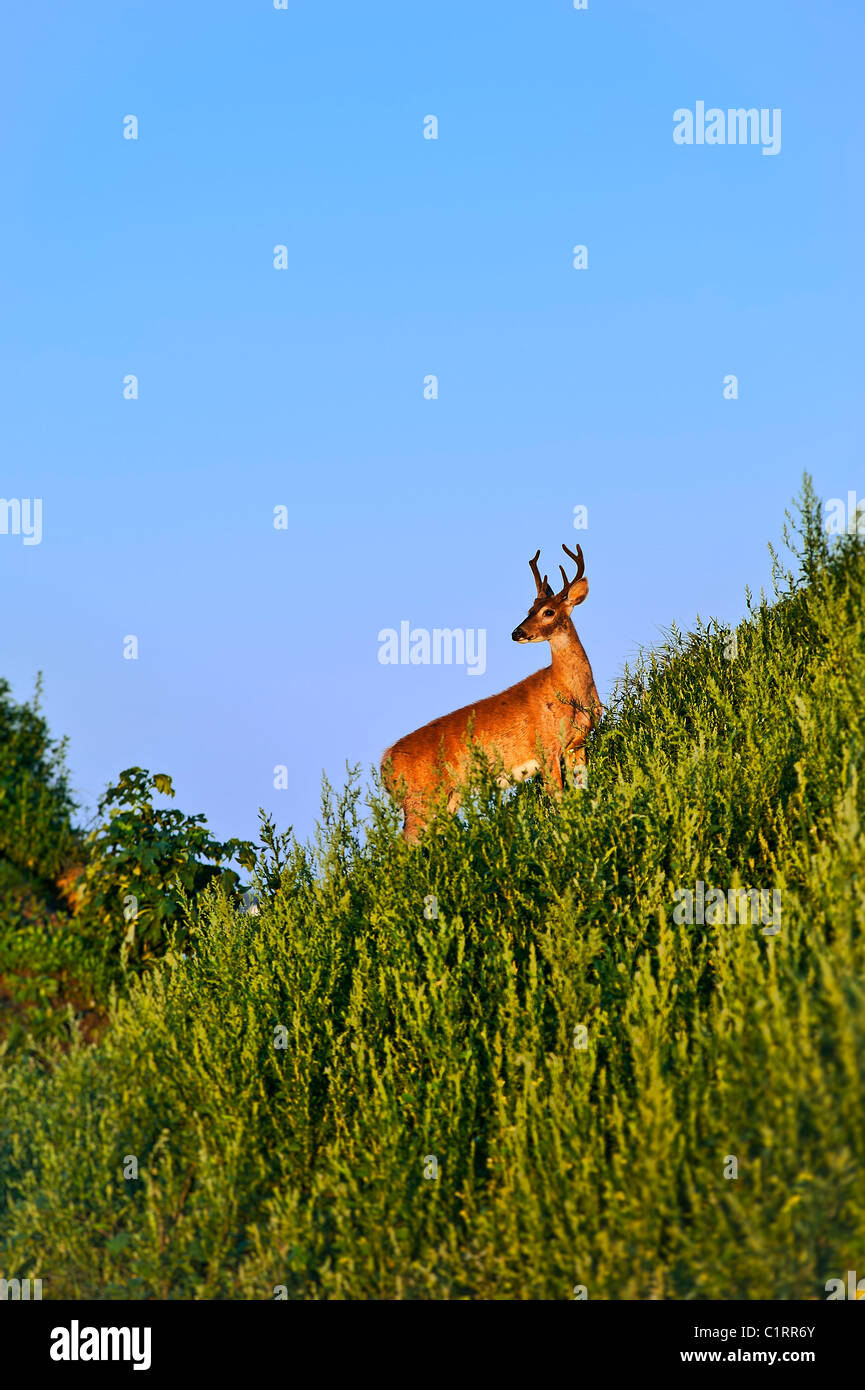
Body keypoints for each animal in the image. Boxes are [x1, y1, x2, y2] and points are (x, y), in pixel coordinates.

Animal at [382, 542, 601, 840]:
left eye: (547, 611)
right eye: (529, 608)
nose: (517, 632)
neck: (571, 691)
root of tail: (385, 763)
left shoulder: (577, 744)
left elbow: (583, 793)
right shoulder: (546, 747)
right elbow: (557, 803)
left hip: (447, 798)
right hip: (421, 797)